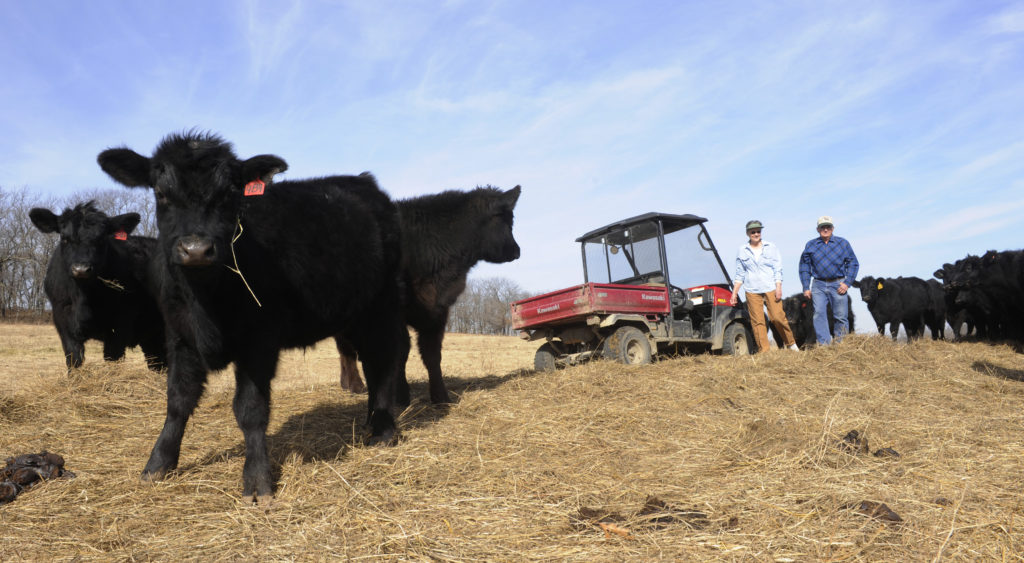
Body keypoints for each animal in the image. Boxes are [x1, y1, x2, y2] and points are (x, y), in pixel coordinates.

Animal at [29, 201, 166, 371]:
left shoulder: (120, 326)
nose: (81, 269)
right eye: (65, 238)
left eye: (101, 239)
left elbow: (112, 358)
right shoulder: (63, 321)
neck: (83, 297)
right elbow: (73, 359)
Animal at [97, 131, 408, 503]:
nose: (196, 250)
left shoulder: (260, 341)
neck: (205, 299)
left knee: (384, 359)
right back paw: (370, 421)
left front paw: (258, 479)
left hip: (382, 304)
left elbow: (250, 409)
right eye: (161, 192)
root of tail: (363, 181)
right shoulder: (179, 336)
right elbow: (178, 401)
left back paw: (384, 429)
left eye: (230, 192)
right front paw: (158, 463)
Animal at [336, 186, 522, 404]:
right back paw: (355, 384)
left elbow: (432, 353)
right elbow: (401, 350)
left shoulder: (439, 310)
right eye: (507, 222)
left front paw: (441, 396)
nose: (517, 251)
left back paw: (347, 383)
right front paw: (401, 396)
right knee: (347, 348)